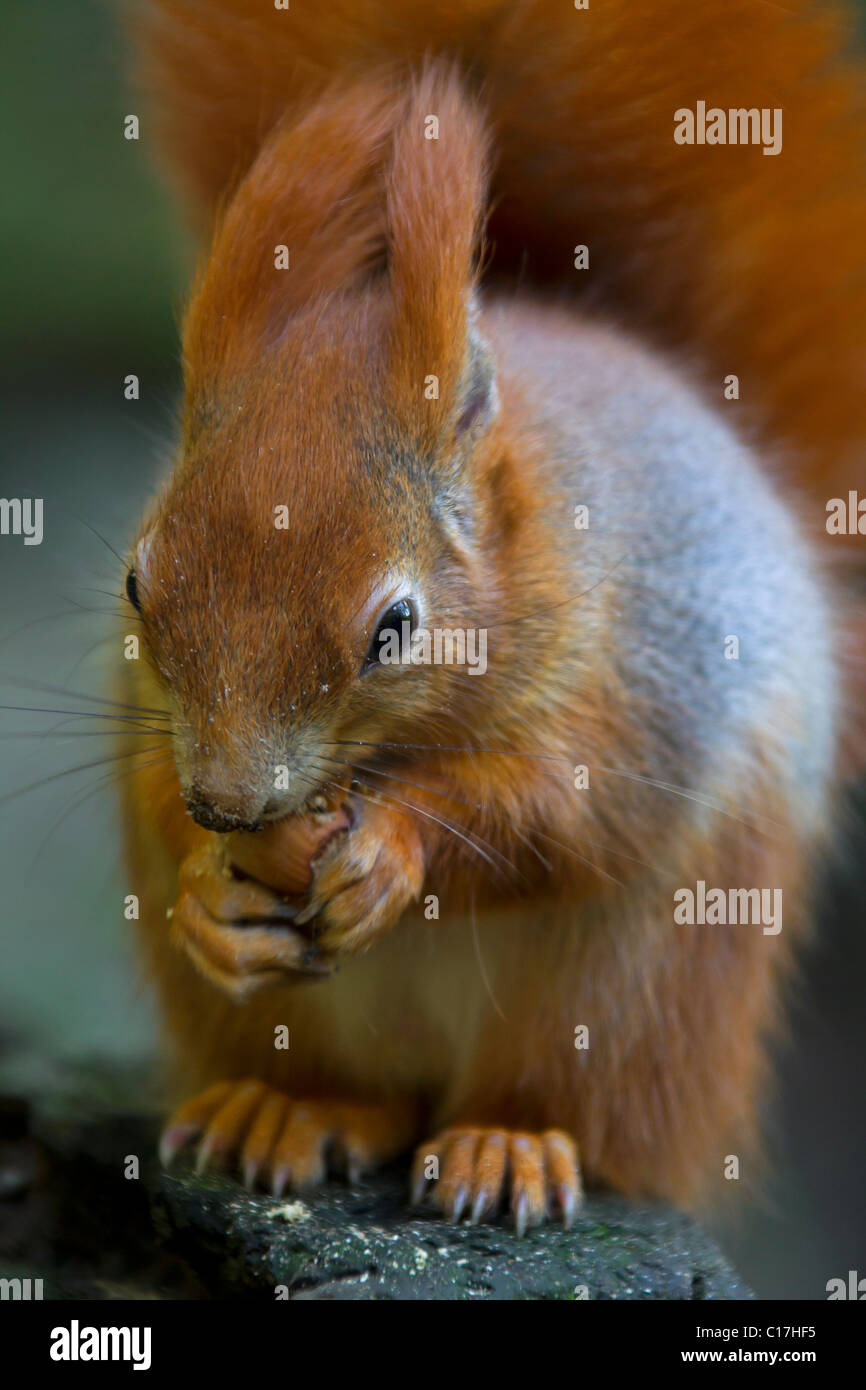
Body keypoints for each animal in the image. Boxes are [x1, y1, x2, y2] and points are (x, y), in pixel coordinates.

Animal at [118, 0, 866, 1230]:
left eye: (394, 627)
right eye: (139, 583)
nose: (229, 801)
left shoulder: (644, 677)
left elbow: (561, 813)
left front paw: (392, 850)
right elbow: (149, 789)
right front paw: (206, 892)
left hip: (641, 995)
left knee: (572, 1104)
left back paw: (504, 1147)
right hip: (294, 1026)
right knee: (361, 1101)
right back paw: (290, 1112)